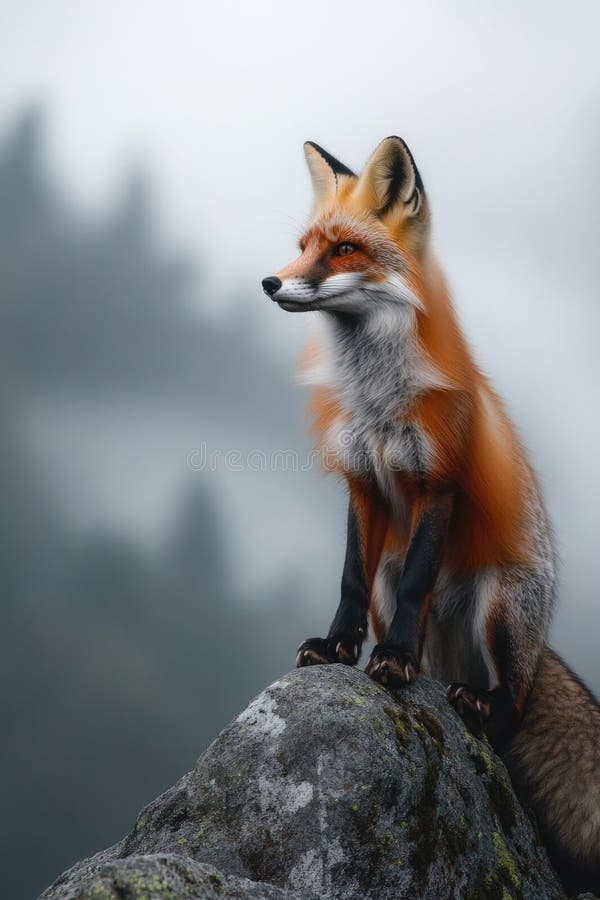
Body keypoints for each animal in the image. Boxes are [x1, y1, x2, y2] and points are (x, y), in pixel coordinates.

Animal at [262, 137, 600, 894]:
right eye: (303, 247)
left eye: (344, 250)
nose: (270, 283)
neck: (377, 402)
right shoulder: (363, 483)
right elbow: (349, 580)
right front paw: (339, 650)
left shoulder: (436, 484)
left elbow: (420, 575)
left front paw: (388, 661)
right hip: (418, 602)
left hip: (501, 608)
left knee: (511, 708)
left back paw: (472, 698)